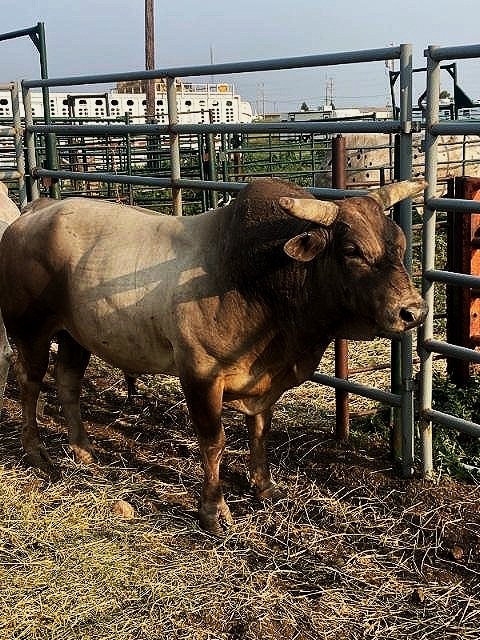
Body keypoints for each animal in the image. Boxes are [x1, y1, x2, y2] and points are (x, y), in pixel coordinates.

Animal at [0, 178, 427, 534]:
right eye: (352, 250)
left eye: (400, 244)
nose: (413, 311)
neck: (263, 278)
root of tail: (35, 211)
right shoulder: (200, 374)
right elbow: (214, 441)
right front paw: (213, 510)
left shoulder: (263, 381)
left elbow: (259, 430)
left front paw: (264, 486)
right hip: (30, 331)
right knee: (30, 382)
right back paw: (37, 454)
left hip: (76, 336)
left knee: (68, 384)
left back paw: (84, 450)